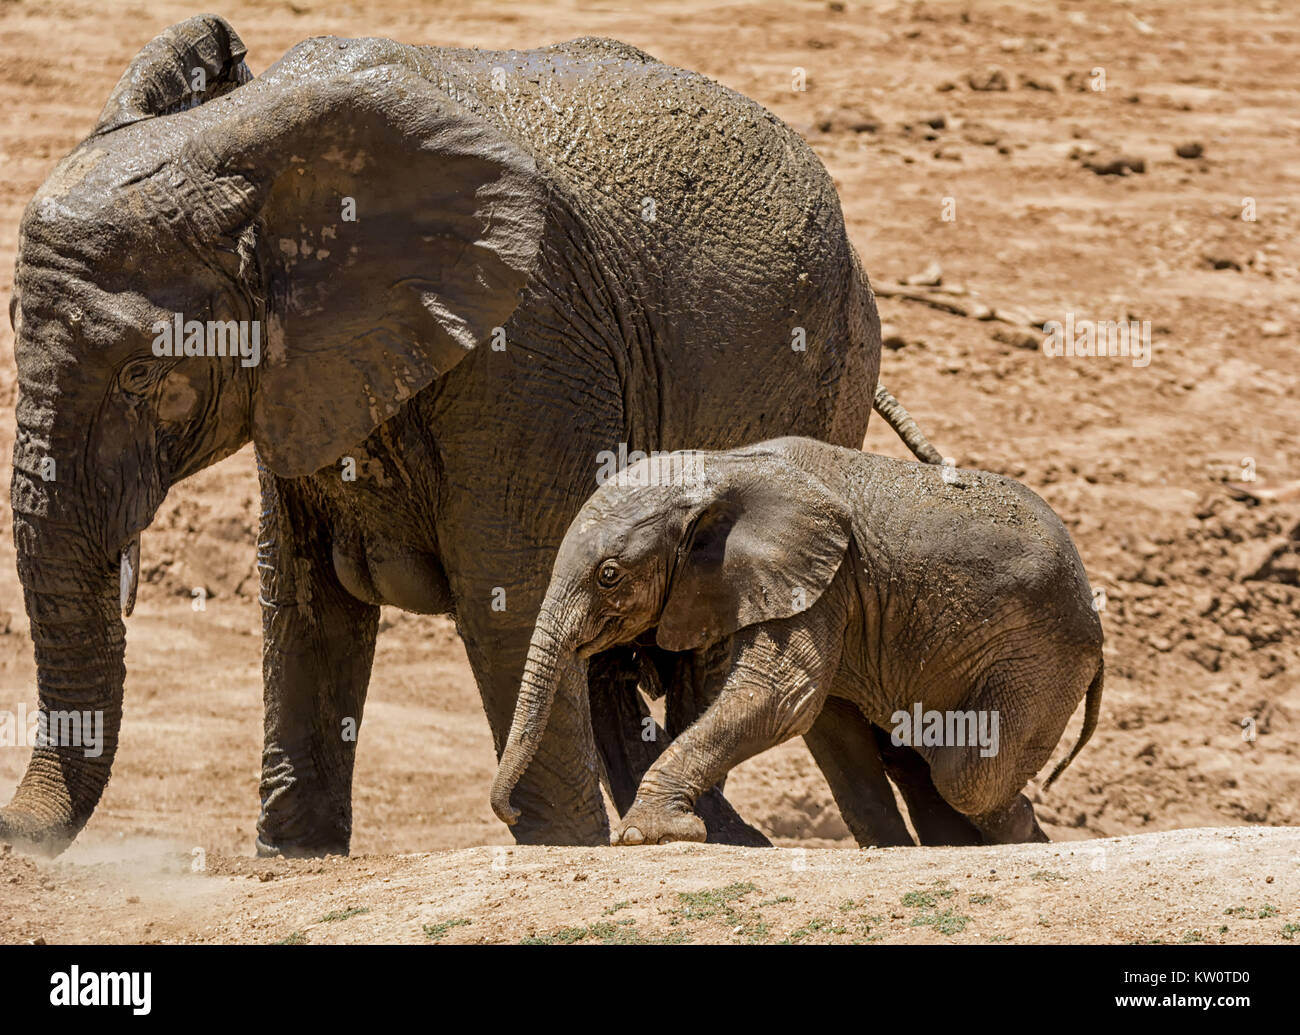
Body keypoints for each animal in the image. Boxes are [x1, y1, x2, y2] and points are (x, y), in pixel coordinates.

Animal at [3, 16, 947, 857]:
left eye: (140, 373)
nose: (17, 836)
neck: (238, 142)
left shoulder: (525, 344)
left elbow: (510, 587)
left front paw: (556, 845)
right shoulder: (306, 371)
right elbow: (301, 595)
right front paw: (296, 857)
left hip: (830, 368)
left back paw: (710, 835)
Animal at [491, 438, 1105, 847]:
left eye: (609, 576)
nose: (512, 816)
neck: (723, 465)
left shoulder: (822, 579)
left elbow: (781, 698)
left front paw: (648, 835)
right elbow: (826, 723)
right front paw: (886, 851)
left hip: (1042, 656)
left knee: (964, 775)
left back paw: (1023, 834)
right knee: (916, 756)